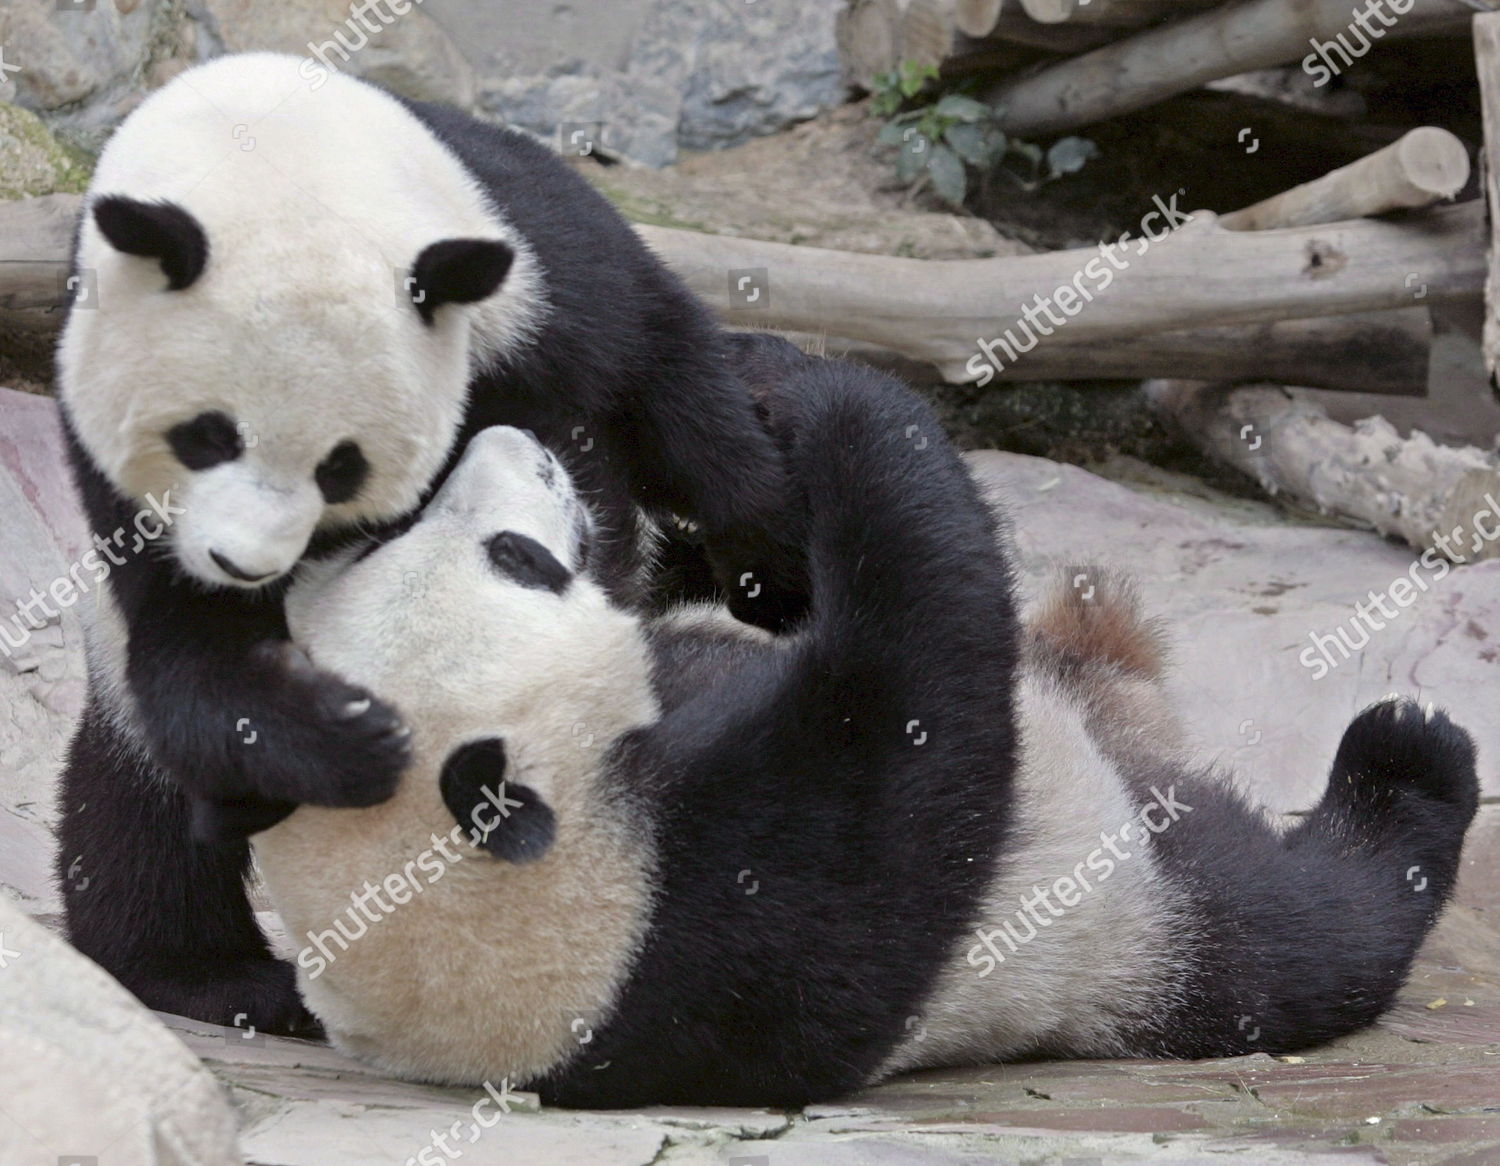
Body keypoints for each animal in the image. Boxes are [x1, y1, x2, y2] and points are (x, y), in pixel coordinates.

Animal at [53, 52, 801, 1037]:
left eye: (342, 467)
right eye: (202, 438)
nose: (247, 566)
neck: (276, 146)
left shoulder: (537, 260)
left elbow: (665, 376)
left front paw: (767, 563)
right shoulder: (111, 459)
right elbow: (188, 643)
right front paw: (343, 739)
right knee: (135, 805)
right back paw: (211, 974)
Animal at [254, 343, 1478, 1109]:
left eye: (377, 542)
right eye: (516, 560)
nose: (515, 444)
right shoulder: (736, 894)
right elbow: (922, 696)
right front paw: (823, 398)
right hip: (1133, 907)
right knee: (1297, 934)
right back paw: (1407, 763)